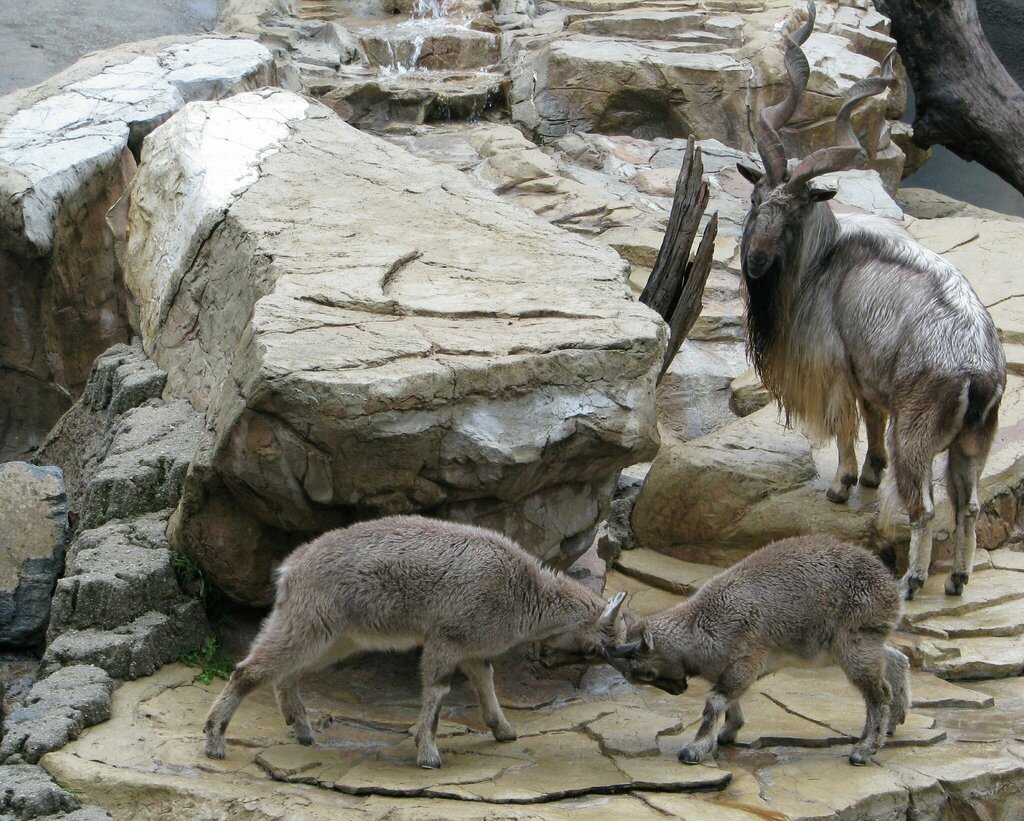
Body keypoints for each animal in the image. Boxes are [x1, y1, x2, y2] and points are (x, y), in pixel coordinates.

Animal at [203, 514, 625, 768]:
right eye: (600, 646)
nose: (628, 666)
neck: (524, 591)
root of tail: (292, 568)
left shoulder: (471, 645)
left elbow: (486, 682)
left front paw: (503, 729)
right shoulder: (446, 638)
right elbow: (437, 691)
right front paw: (428, 753)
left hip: (336, 637)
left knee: (287, 672)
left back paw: (302, 729)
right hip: (310, 621)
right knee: (249, 670)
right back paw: (215, 740)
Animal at [604, 536, 910, 766]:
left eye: (646, 673)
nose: (679, 689)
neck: (699, 625)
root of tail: (890, 587)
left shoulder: (746, 658)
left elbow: (716, 700)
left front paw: (695, 748)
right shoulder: (733, 668)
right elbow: (729, 700)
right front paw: (728, 732)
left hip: (853, 641)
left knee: (878, 692)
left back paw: (864, 749)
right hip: (853, 643)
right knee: (896, 658)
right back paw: (894, 721)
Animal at [736, 1, 1006, 599]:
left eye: (794, 210)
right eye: (757, 199)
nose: (756, 262)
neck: (825, 260)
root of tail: (979, 370)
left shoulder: (835, 367)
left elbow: (844, 428)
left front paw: (841, 484)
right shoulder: (869, 377)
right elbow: (871, 420)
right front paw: (870, 472)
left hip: (920, 435)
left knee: (925, 508)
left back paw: (912, 578)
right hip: (973, 442)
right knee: (969, 505)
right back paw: (957, 579)